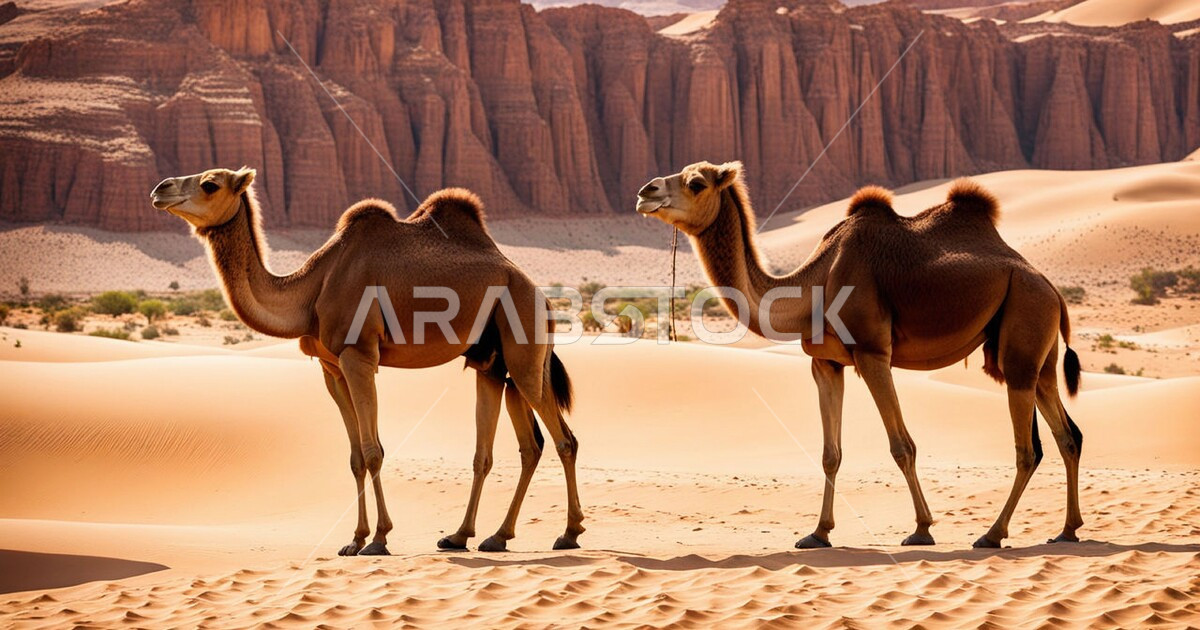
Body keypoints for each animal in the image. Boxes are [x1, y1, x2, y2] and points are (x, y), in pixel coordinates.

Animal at [150, 167, 584, 555]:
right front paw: (354, 540)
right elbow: (356, 456)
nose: (159, 189)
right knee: (517, 447)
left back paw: (568, 533)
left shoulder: (359, 355)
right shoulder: (332, 369)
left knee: (564, 439)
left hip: (523, 348)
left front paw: (379, 539)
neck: (312, 288)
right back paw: (478, 537)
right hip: (493, 364)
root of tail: (542, 298)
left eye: (210, 183)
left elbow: (374, 450)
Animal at [636, 161, 1083, 549]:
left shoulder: (872, 353)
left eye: (696, 183)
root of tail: (1054, 291)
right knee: (1067, 435)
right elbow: (829, 453)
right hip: (1038, 358)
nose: (645, 191)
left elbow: (902, 445)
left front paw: (922, 528)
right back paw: (1067, 530)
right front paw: (818, 533)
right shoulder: (825, 363)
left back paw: (992, 534)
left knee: (1027, 449)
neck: (811, 285)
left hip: (1024, 324)